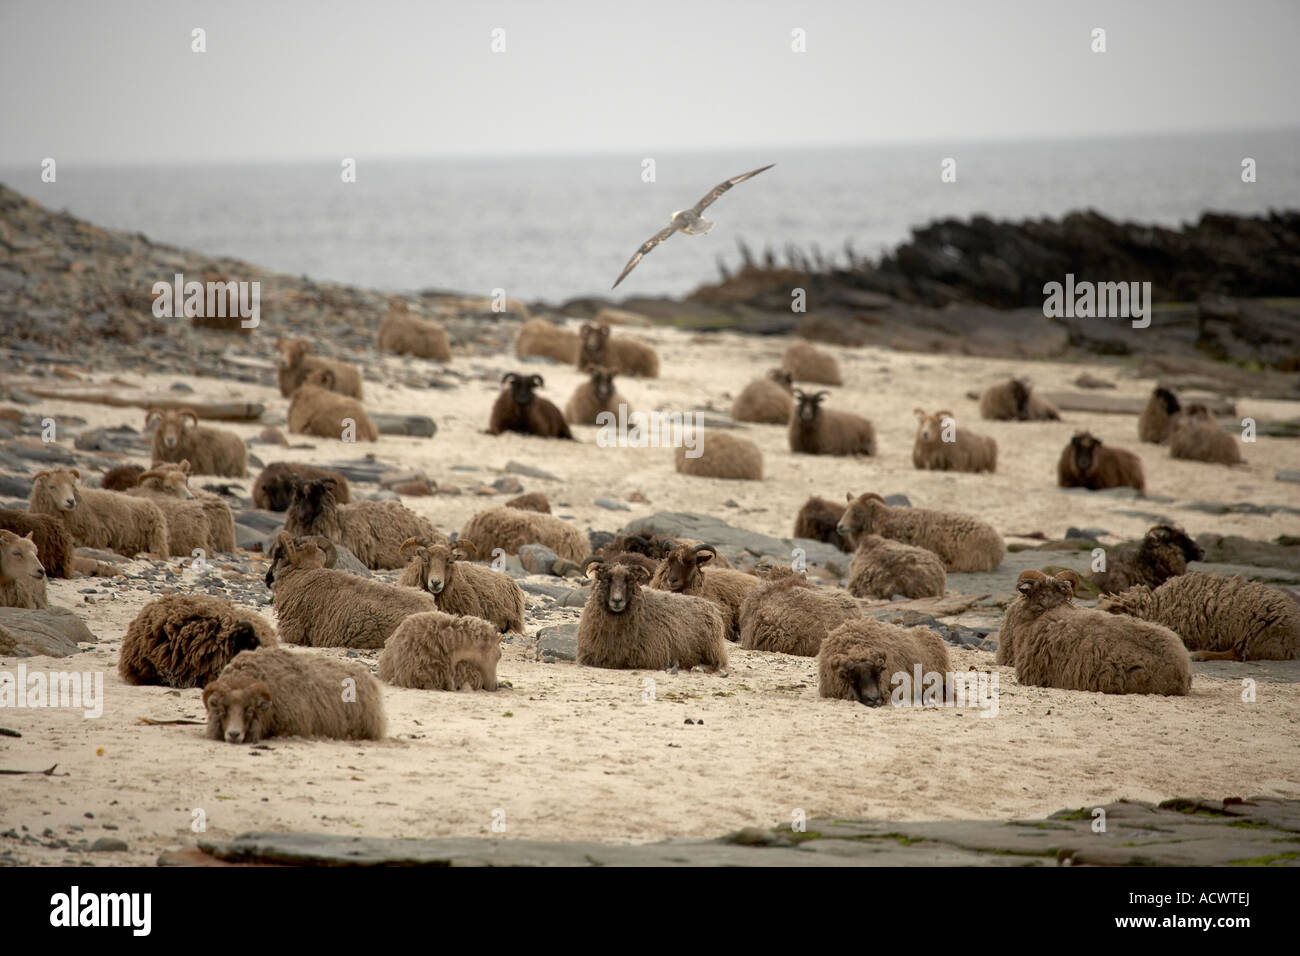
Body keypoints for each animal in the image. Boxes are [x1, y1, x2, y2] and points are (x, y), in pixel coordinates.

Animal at [29, 468, 169, 559]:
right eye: (52, 486)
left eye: (72, 485)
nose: (71, 501)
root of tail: (150, 502)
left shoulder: (96, 535)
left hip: (156, 535)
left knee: (161, 555)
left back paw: (142, 556)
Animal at [837, 492, 1004, 573]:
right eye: (846, 509)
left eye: (857, 512)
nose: (839, 526)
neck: (885, 520)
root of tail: (997, 546)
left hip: (966, 555)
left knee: (965, 566)